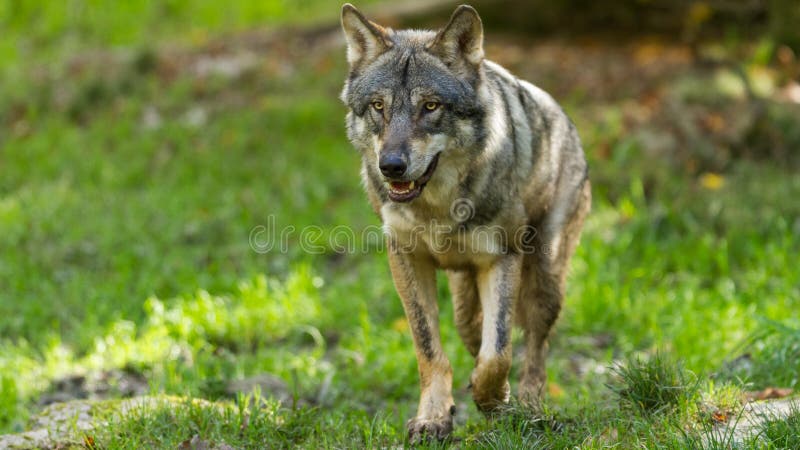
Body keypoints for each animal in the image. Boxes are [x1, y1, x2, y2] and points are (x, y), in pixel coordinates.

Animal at [340, 3, 590, 441]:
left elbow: (498, 353)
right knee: (472, 332)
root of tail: (562, 114)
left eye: (430, 106)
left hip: (544, 279)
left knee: (535, 350)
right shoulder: (405, 259)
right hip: (463, 293)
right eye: (378, 106)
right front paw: (433, 418)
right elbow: (430, 350)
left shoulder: (502, 259)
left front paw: (495, 398)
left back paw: (529, 407)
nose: (391, 166)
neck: (436, 207)